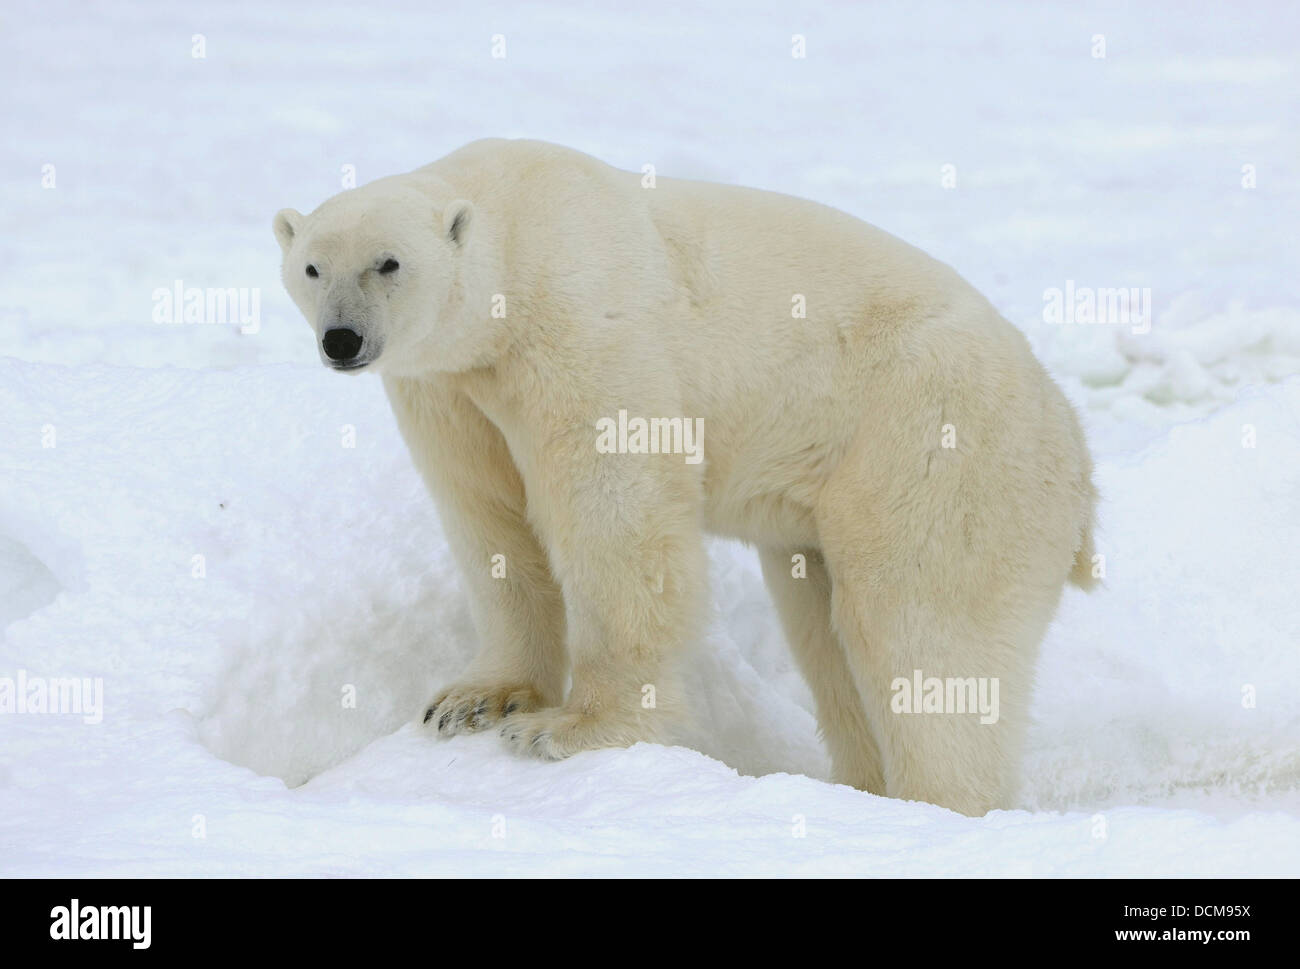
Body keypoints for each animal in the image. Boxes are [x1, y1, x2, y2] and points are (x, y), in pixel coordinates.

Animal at [273, 138, 1096, 816]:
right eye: (311, 267)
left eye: (389, 262)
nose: (342, 339)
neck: (515, 233)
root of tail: (1074, 446)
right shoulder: (448, 389)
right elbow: (488, 518)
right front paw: (473, 701)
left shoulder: (578, 325)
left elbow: (614, 507)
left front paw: (568, 728)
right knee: (826, 634)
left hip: (934, 445)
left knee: (923, 628)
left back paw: (936, 806)